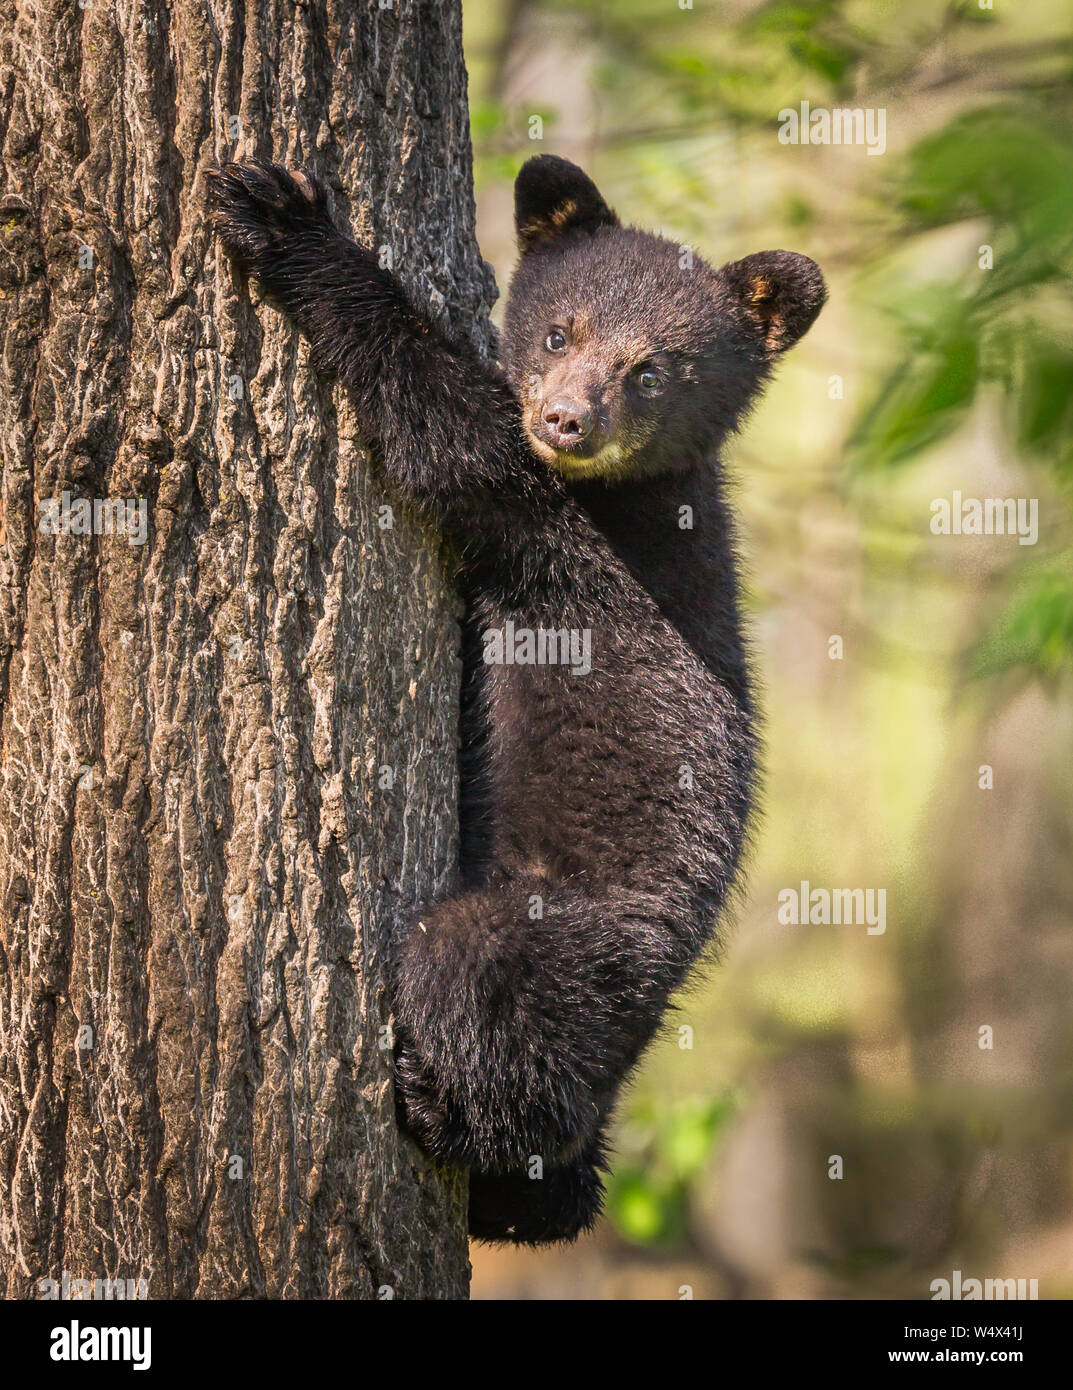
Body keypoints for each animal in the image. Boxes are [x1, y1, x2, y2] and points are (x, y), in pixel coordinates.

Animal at [208, 154, 826, 1244]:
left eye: (652, 368)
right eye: (557, 330)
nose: (566, 420)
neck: (627, 488)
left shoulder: (571, 529)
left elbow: (444, 433)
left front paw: (284, 221)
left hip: (554, 941)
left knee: (475, 991)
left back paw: (442, 1112)